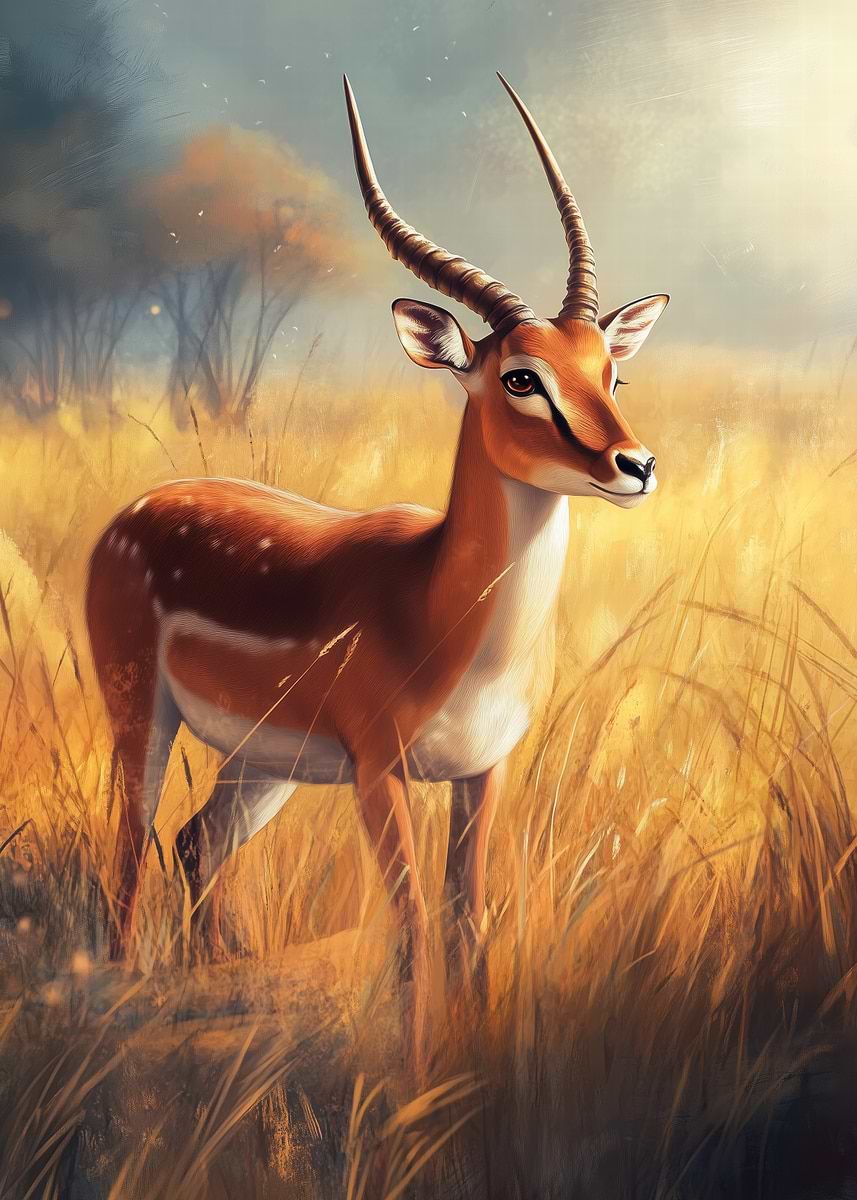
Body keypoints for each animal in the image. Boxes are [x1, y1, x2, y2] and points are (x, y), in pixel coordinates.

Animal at [86, 74, 668, 1050]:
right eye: (519, 376)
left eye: (609, 373)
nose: (635, 465)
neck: (443, 607)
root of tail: (132, 511)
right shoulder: (377, 773)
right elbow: (415, 931)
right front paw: (418, 1069)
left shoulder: (482, 772)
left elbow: (469, 918)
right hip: (145, 717)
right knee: (130, 851)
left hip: (265, 761)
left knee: (197, 843)